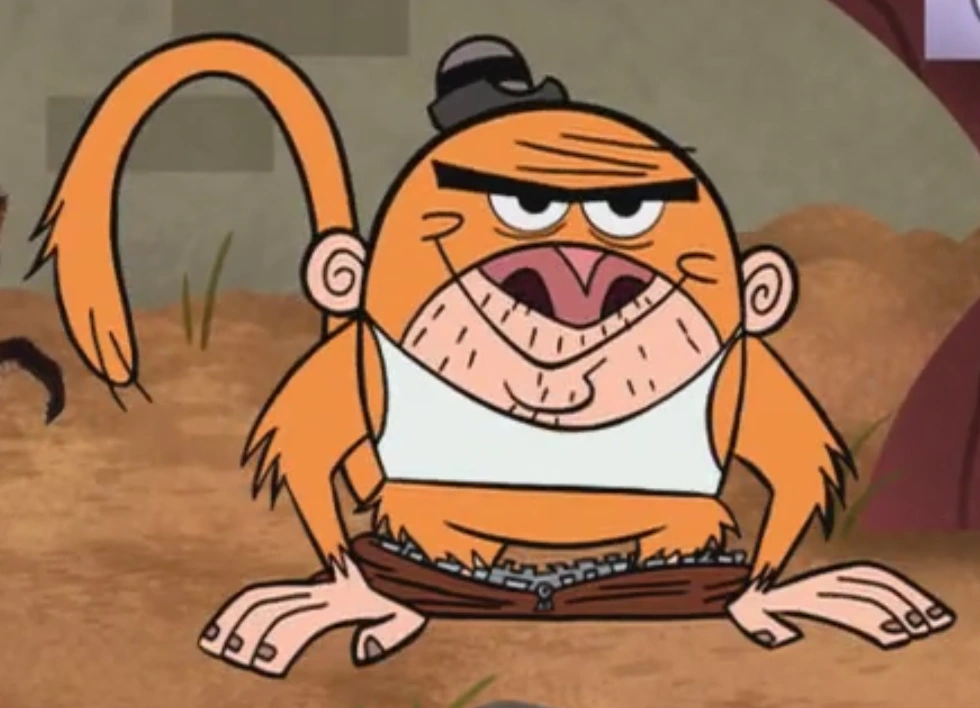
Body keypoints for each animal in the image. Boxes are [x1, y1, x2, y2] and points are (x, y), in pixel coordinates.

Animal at [28, 32, 955, 676]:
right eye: (526, 205)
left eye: (626, 211)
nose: (578, 274)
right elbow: (310, 446)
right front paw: (356, 597)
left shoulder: (741, 377)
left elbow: (791, 461)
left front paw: (766, 599)